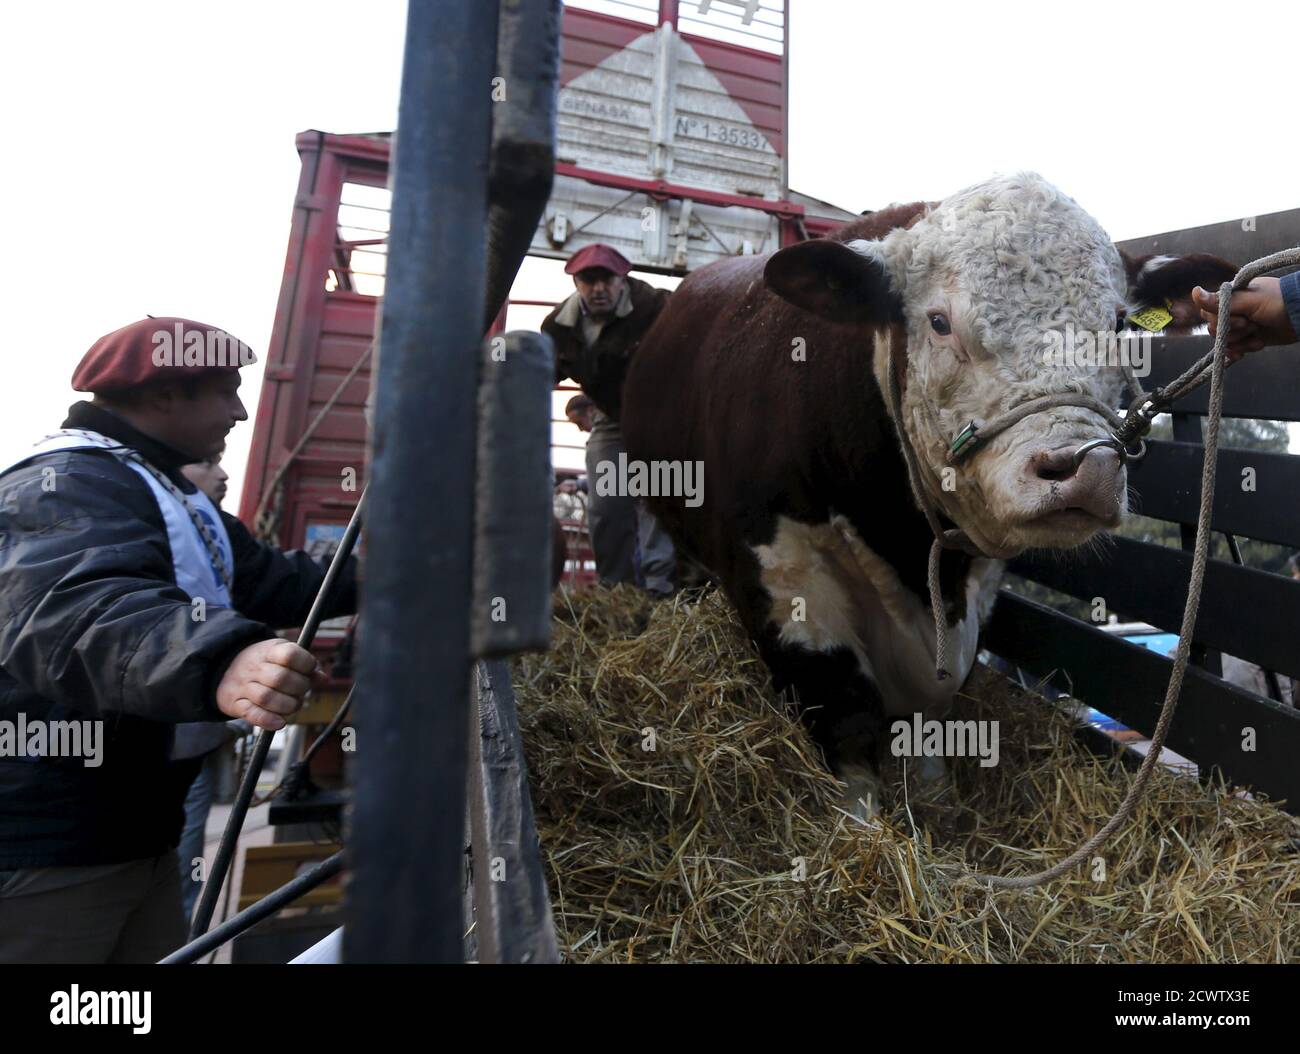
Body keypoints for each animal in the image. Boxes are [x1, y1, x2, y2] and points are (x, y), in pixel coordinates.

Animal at [621, 172, 1236, 818]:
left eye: (1119, 325)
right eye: (939, 322)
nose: (1084, 468)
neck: (907, 549)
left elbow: (934, 719)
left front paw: (937, 803)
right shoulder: (786, 585)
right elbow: (846, 724)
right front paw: (865, 827)